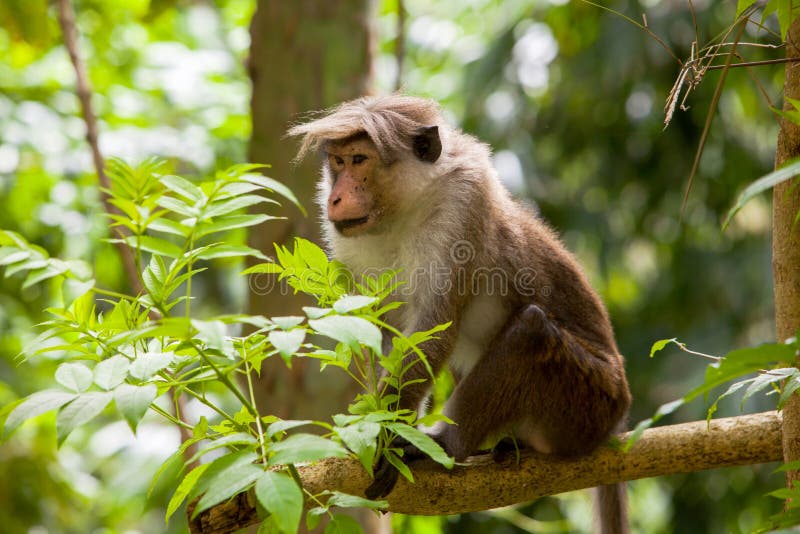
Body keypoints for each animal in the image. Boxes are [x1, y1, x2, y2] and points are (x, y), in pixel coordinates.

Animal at [288, 95, 632, 534]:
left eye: (360, 159)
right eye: (338, 162)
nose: (334, 197)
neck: (404, 212)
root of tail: (616, 415)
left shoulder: (461, 205)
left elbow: (434, 329)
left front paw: (390, 439)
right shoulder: (352, 242)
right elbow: (389, 335)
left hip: (588, 401)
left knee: (532, 332)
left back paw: (448, 445)